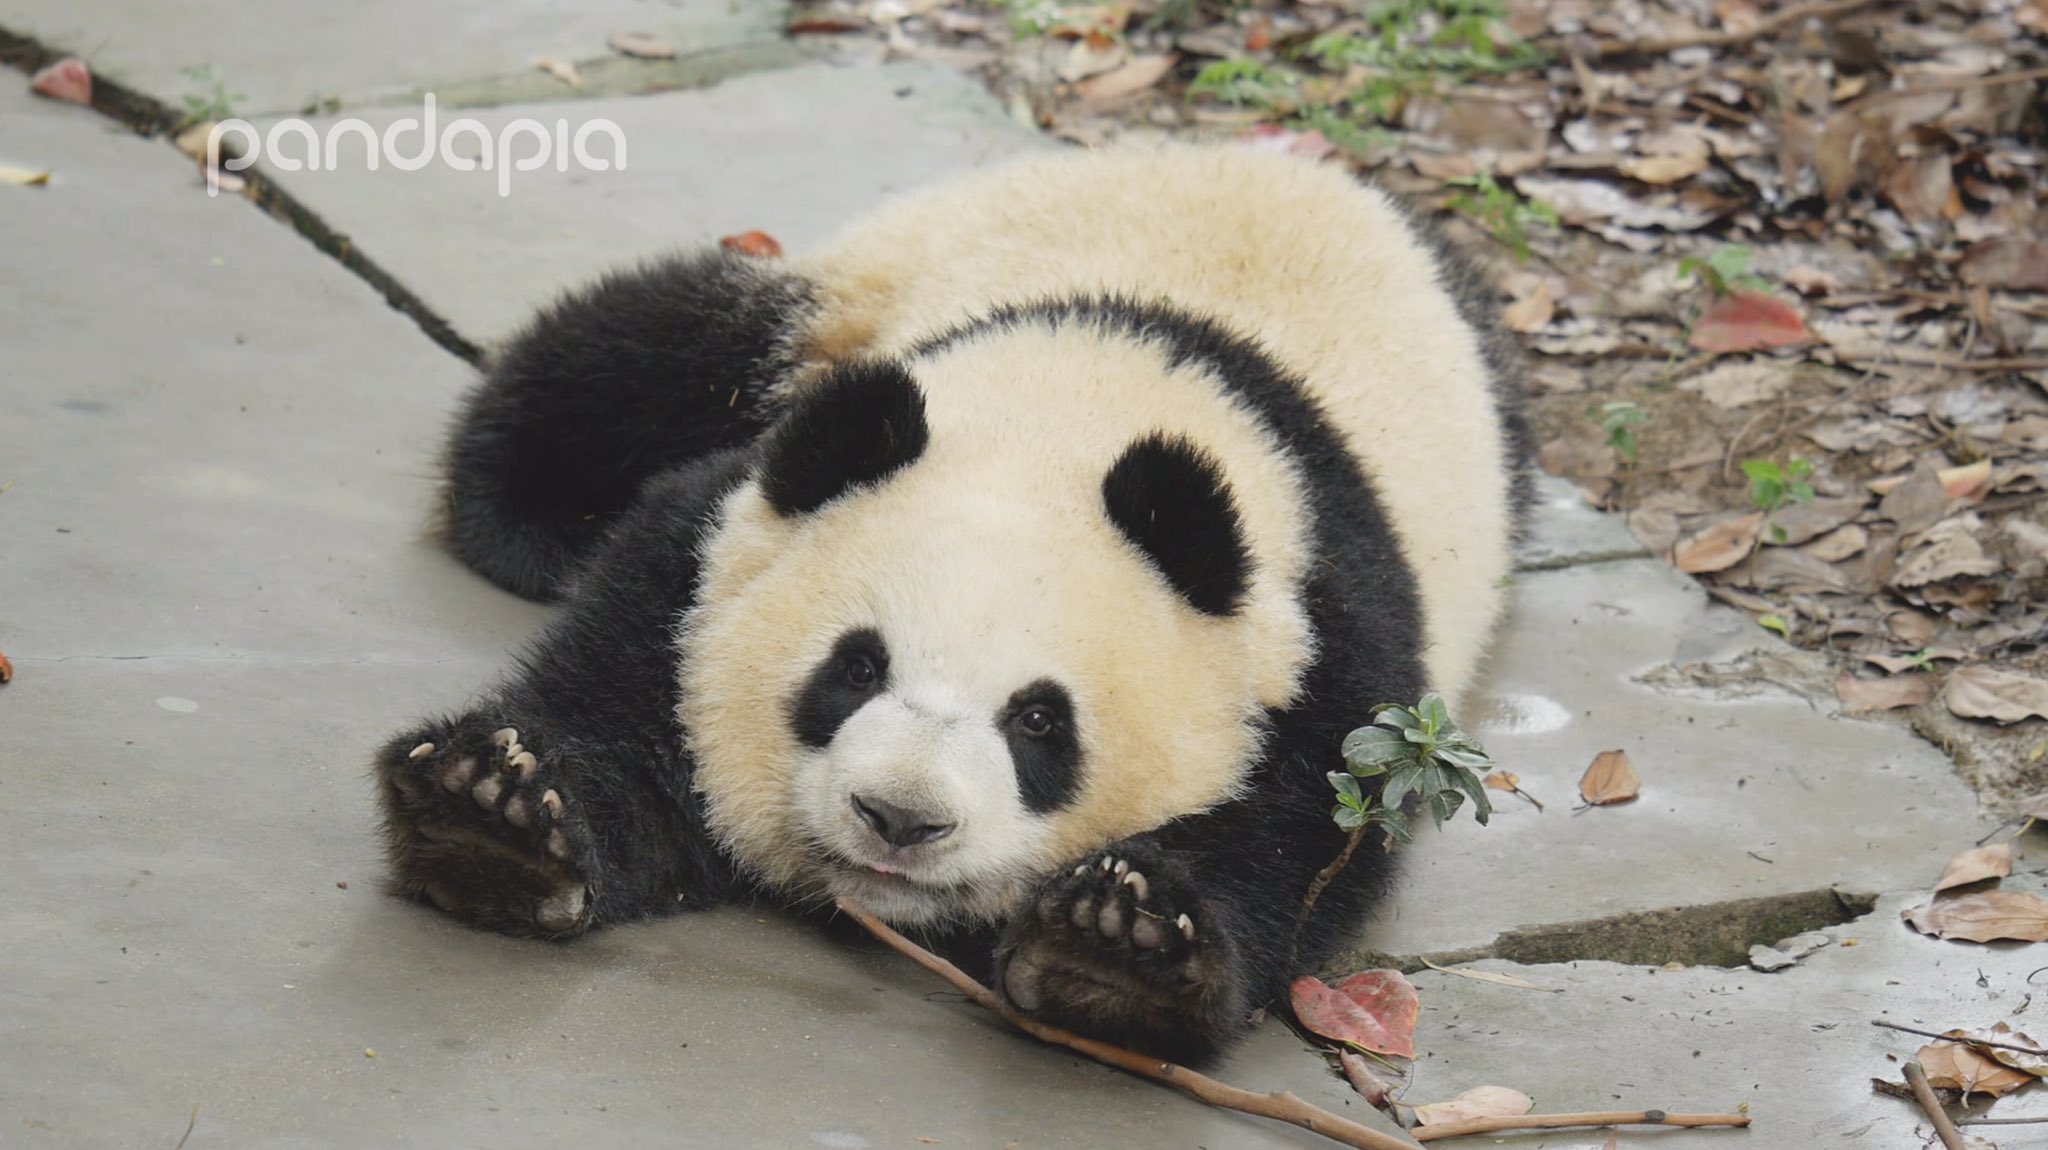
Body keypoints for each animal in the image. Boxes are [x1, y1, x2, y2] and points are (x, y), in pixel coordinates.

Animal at [375, 143, 1529, 1066]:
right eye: (854, 668)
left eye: (1040, 721)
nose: (899, 818)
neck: (1086, 407)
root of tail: (1290, 160)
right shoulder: (733, 516)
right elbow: (635, 660)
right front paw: (493, 810)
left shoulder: (1315, 639)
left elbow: (1300, 830)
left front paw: (1118, 946)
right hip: (850, 296)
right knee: (640, 353)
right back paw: (527, 523)